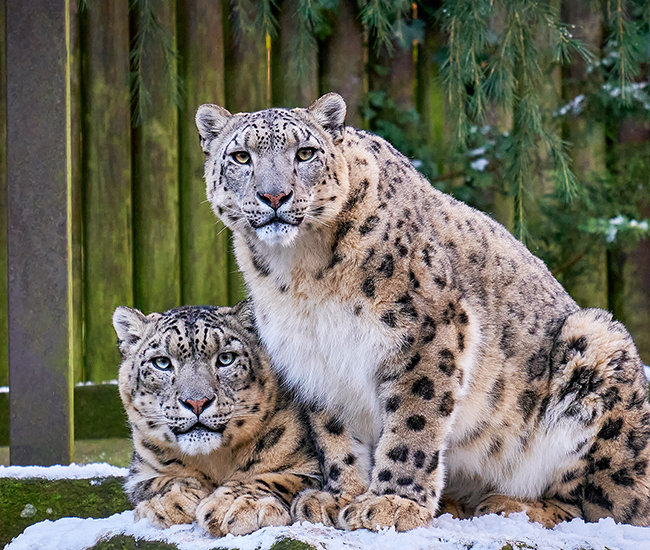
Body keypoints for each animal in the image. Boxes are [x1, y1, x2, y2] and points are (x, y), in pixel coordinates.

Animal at [113, 301, 320, 537]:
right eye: (162, 362)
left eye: (225, 358)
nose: (196, 402)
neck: (214, 460)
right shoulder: (141, 470)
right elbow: (156, 482)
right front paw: (169, 502)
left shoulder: (309, 465)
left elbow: (280, 478)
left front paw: (233, 504)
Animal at [195, 92, 650, 531]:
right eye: (241, 157)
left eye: (305, 153)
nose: (274, 196)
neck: (301, 274)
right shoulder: (317, 361)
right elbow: (336, 434)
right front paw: (341, 496)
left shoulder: (427, 332)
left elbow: (413, 421)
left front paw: (393, 503)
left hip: (596, 346)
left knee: (604, 502)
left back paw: (512, 505)